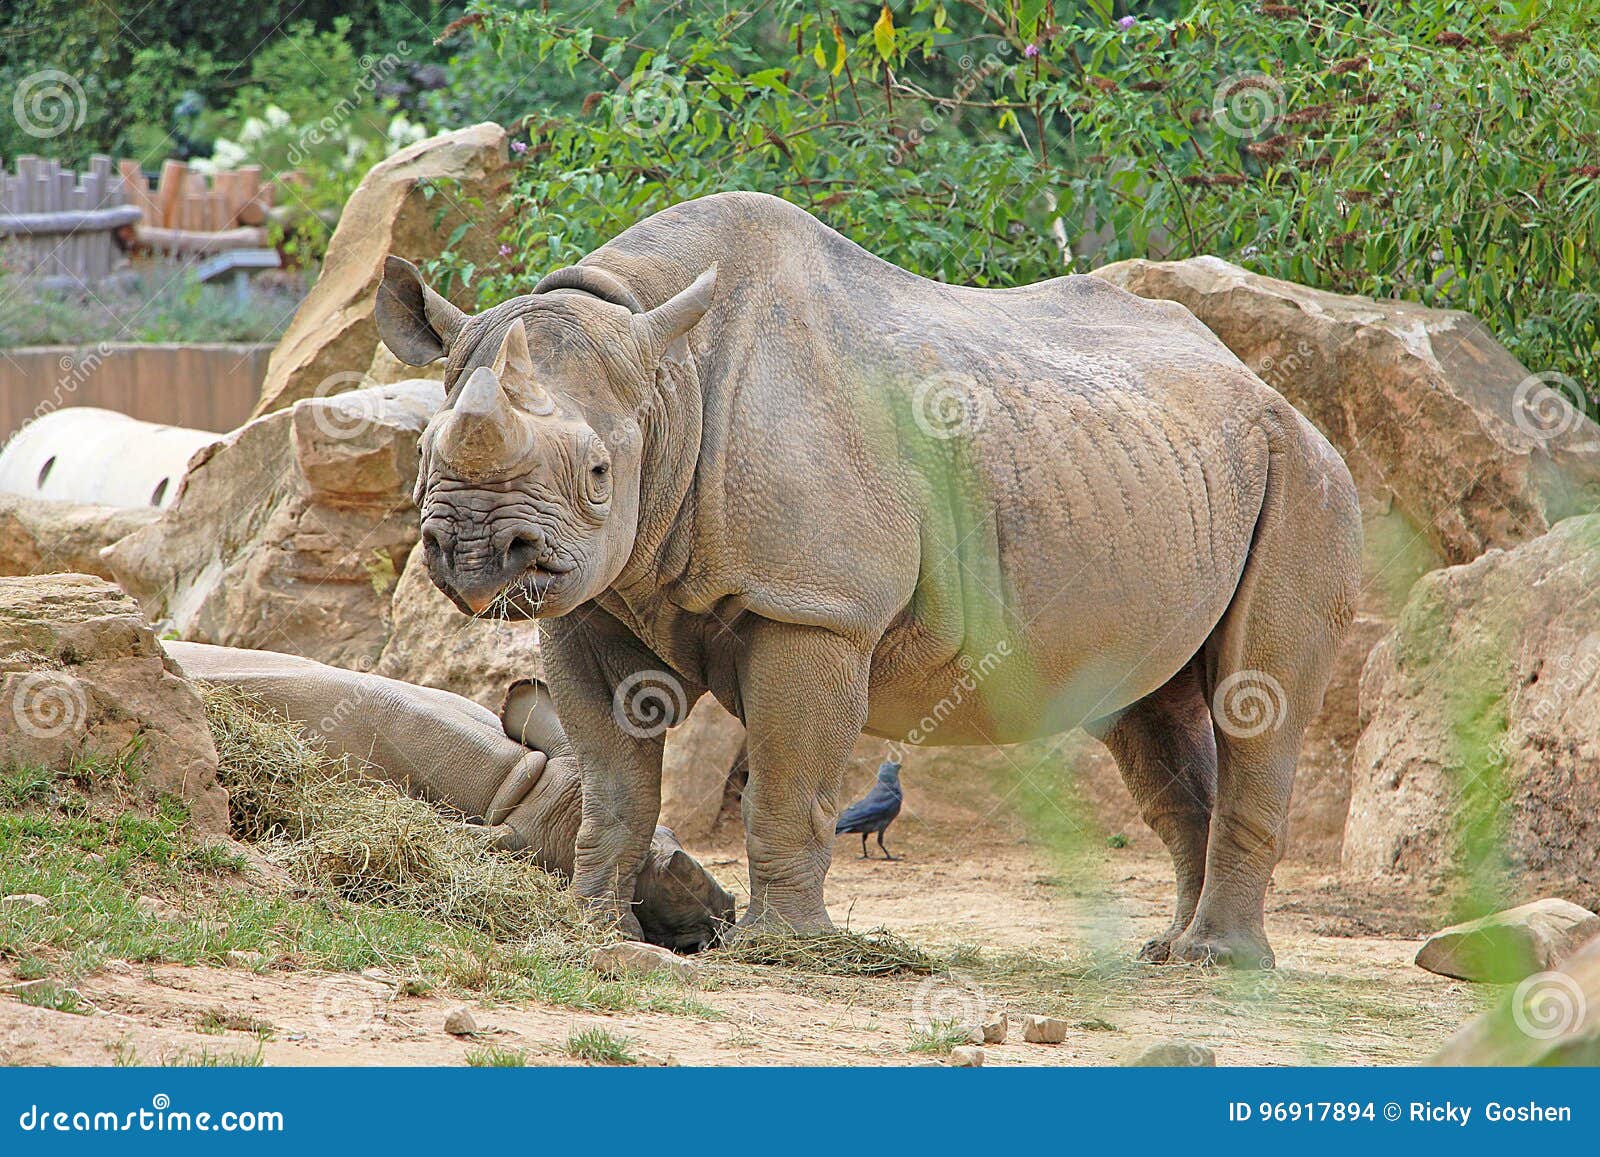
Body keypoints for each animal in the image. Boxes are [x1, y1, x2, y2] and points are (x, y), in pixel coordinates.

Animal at [376, 191, 1362, 968]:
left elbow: (787, 779)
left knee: (1255, 703)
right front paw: (592, 927)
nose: (474, 556)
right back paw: (1168, 951)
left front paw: (785, 947)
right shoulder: (599, 601)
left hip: (1307, 476)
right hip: (1162, 467)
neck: (666, 382)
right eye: (423, 456)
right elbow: (614, 782)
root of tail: (1265, 386)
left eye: (595, 474)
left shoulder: (817, 608)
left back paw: (1220, 962)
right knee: (1146, 709)